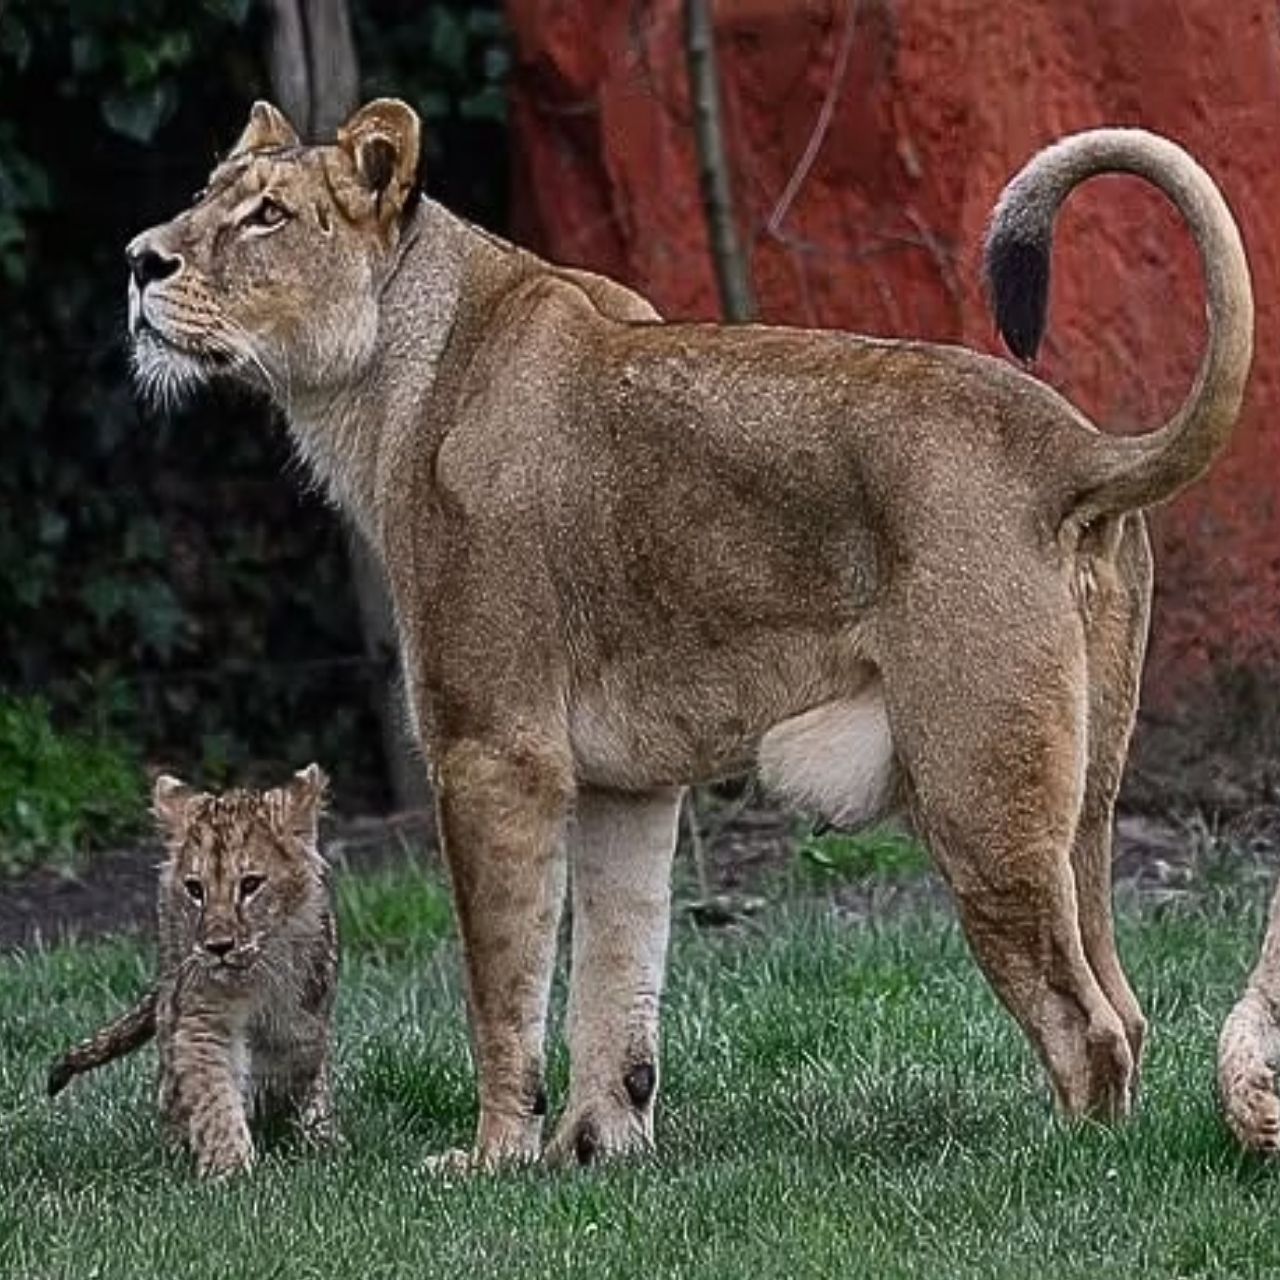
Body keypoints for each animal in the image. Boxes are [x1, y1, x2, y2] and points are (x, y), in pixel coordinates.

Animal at [124, 98, 1252, 1170]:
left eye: (267, 215)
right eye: (207, 193)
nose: (139, 261)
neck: (388, 382)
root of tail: (1072, 444)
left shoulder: (494, 751)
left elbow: (503, 983)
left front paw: (493, 1159)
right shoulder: (626, 783)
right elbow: (616, 976)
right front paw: (595, 1148)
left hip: (976, 795)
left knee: (1085, 1025)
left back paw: (1054, 1164)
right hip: (1079, 802)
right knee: (1125, 1003)